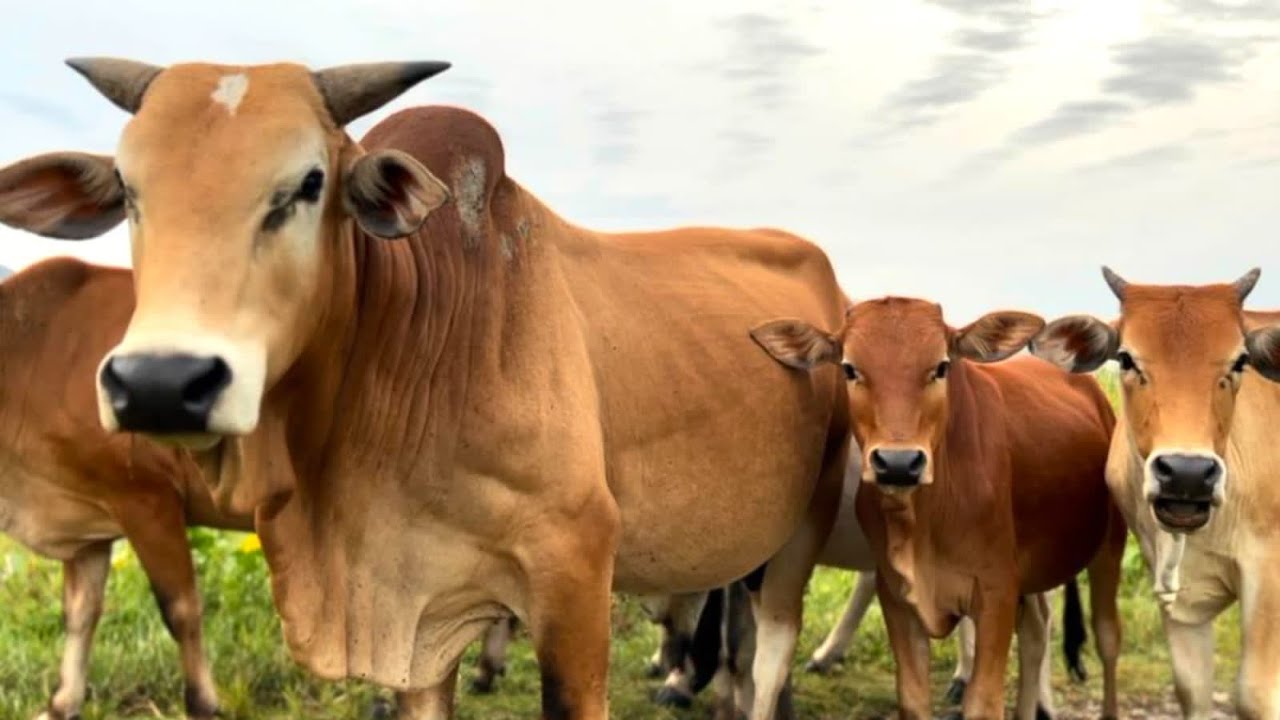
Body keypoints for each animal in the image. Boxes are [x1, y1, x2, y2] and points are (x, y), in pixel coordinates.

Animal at [0, 257, 252, 720]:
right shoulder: (86, 523)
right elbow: (80, 612)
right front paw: (63, 702)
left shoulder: (146, 498)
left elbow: (180, 608)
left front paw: (203, 703)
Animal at [750, 297, 1126, 720]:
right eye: (849, 368)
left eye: (941, 366)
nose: (898, 463)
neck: (928, 519)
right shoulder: (898, 599)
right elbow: (913, 699)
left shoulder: (996, 595)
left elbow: (984, 701)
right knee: (1035, 634)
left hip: (1107, 548)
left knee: (1106, 637)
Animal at [1029, 267, 1280, 719]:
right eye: (1127, 358)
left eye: (1240, 361)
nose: (1187, 473)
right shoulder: (1177, 598)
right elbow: (1192, 690)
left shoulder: (1267, 572)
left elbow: (1256, 694)